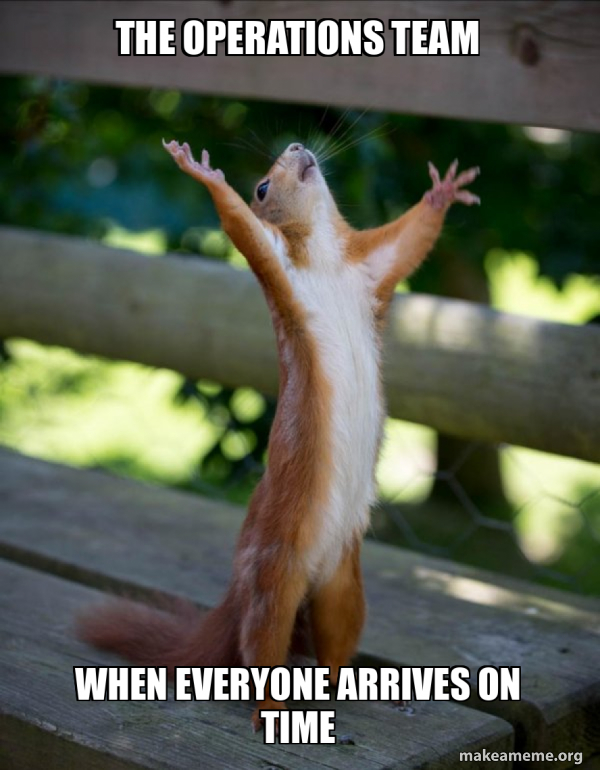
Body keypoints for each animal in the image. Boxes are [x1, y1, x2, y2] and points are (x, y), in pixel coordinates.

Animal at [77, 138, 479, 730]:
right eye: (262, 187)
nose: (296, 146)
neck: (327, 259)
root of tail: (241, 589)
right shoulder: (277, 266)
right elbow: (241, 226)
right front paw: (204, 173)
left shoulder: (371, 268)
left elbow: (409, 240)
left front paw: (443, 192)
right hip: (274, 578)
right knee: (261, 650)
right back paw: (272, 709)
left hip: (344, 588)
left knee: (336, 643)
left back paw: (350, 687)